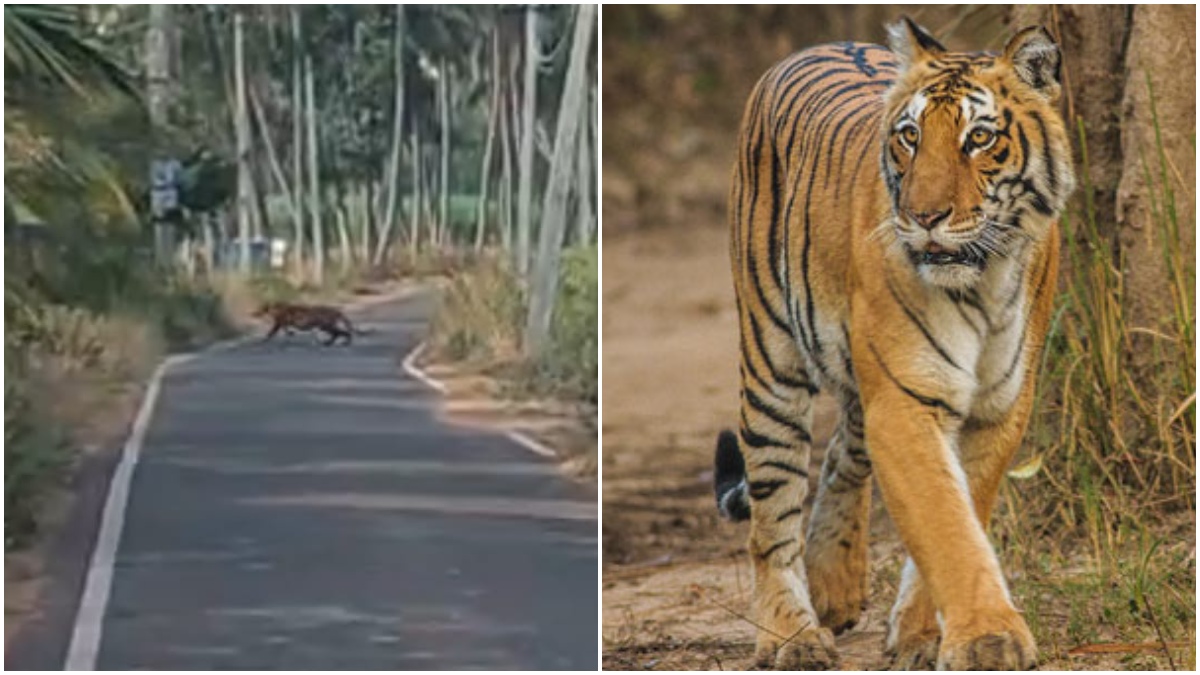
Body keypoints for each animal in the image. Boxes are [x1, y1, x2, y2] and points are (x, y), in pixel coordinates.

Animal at [712, 18, 1075, 670]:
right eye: (910, 136)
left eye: (979, 138)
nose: (924, 216)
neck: (984, 282)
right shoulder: (906, 402)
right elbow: (945, 523)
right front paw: (987, 638)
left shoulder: (999, 405)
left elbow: (963, 511)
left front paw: (922, 635)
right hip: (771, 359)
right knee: (772, 514)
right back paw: (792, 636)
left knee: (841, 453)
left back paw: (833, 585)